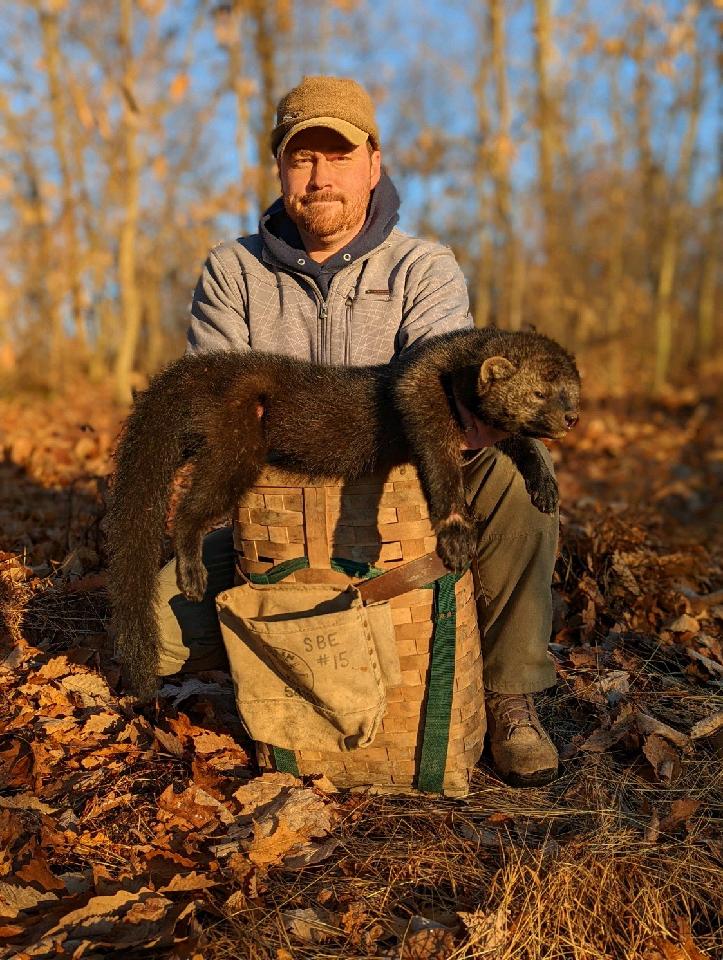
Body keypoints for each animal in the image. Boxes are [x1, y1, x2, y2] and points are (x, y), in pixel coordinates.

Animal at [106, 328, 580, 697]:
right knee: (189, 511)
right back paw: (191, 578)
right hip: (236, 440)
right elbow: (440, 467)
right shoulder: (420, 392)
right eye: (538, 392)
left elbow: (520, 443)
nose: (571, 417)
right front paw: (456, 537)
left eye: (572, 392)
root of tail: (206, 371)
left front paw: (544, 487)